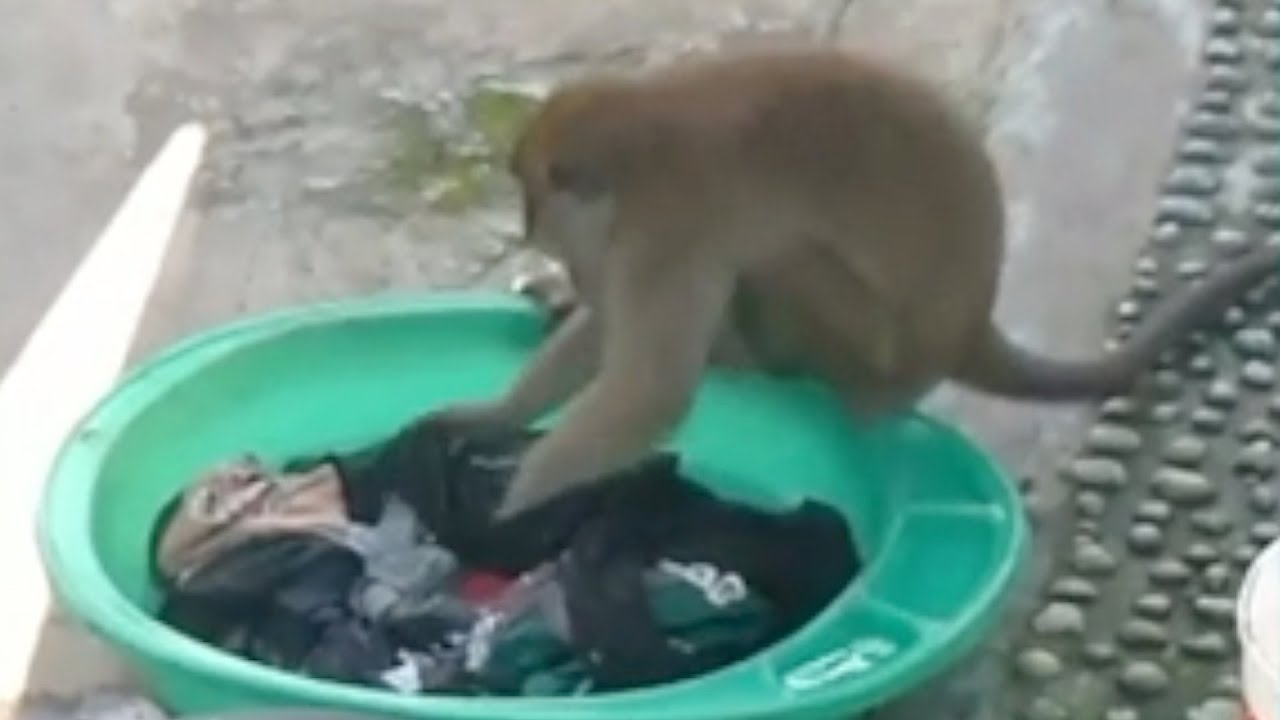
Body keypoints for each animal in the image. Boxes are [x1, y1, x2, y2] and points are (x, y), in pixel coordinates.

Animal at [436, 46, 1280, 520]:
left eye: (541, 209)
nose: (540, 237)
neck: (639, 142)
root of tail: (969, 328)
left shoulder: (668, 232)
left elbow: (649, 389)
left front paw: (509, 507)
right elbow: (612, 336)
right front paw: (490, 415)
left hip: (869, 346)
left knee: (785, 258)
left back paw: (757, 368)